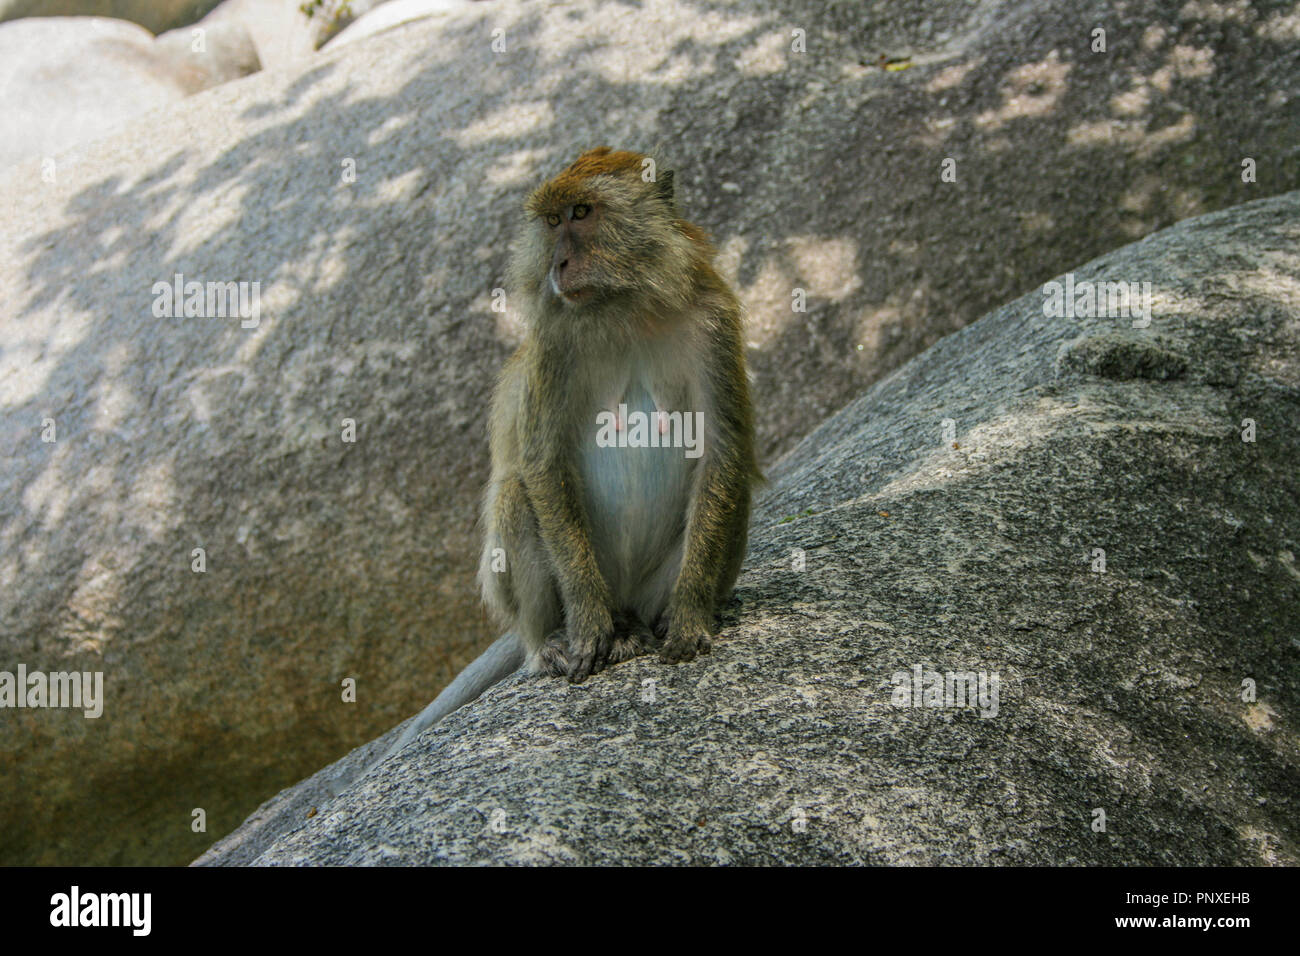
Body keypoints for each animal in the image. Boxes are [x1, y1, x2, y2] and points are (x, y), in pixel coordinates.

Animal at [373, 148, 759, 769]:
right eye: (552, 222)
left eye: (582, 212)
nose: (558, 263)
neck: (623, 306)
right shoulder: (553, 342)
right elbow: (542, 466)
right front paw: (587, 621)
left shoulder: (713, 317)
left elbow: (724, 452)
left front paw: (691, 614)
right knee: (514, 495)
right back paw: (555, 642)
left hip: (650, 585)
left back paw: (654, 620)